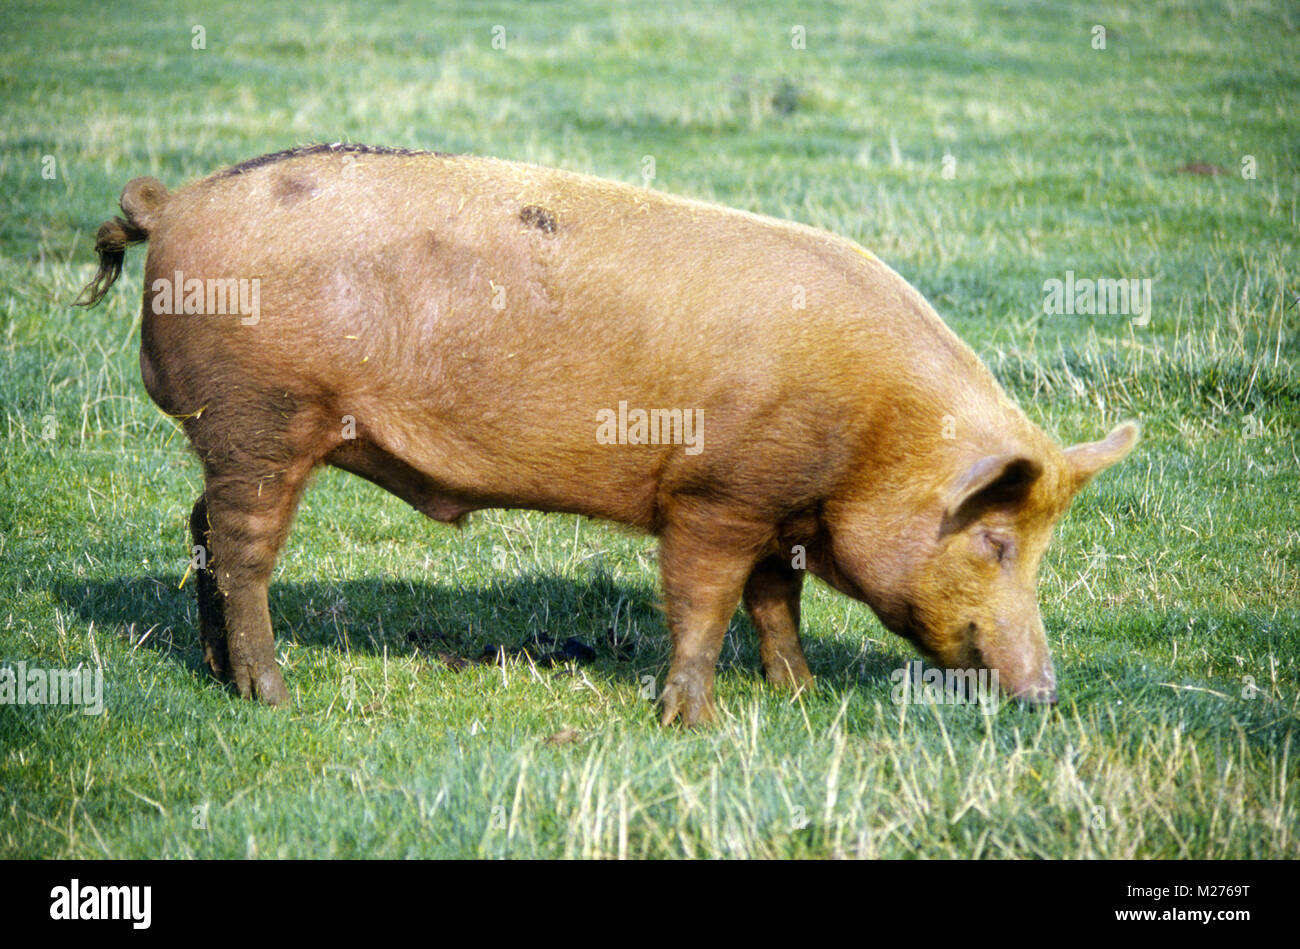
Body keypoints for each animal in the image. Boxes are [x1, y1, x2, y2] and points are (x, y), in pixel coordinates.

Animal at [76, 143, 1138, 724]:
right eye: (995, 539)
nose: (1044, 692)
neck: (881, 431)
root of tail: (174, 204)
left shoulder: (776, 505)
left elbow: (775, 603)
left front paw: (800, 696)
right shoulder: (714, 494)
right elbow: (706, 602)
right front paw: (692, 722)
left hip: (235, 432)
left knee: (198, 530)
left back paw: (219, 676)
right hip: (259, 414)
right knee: (243, 549)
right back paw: (274, 694)